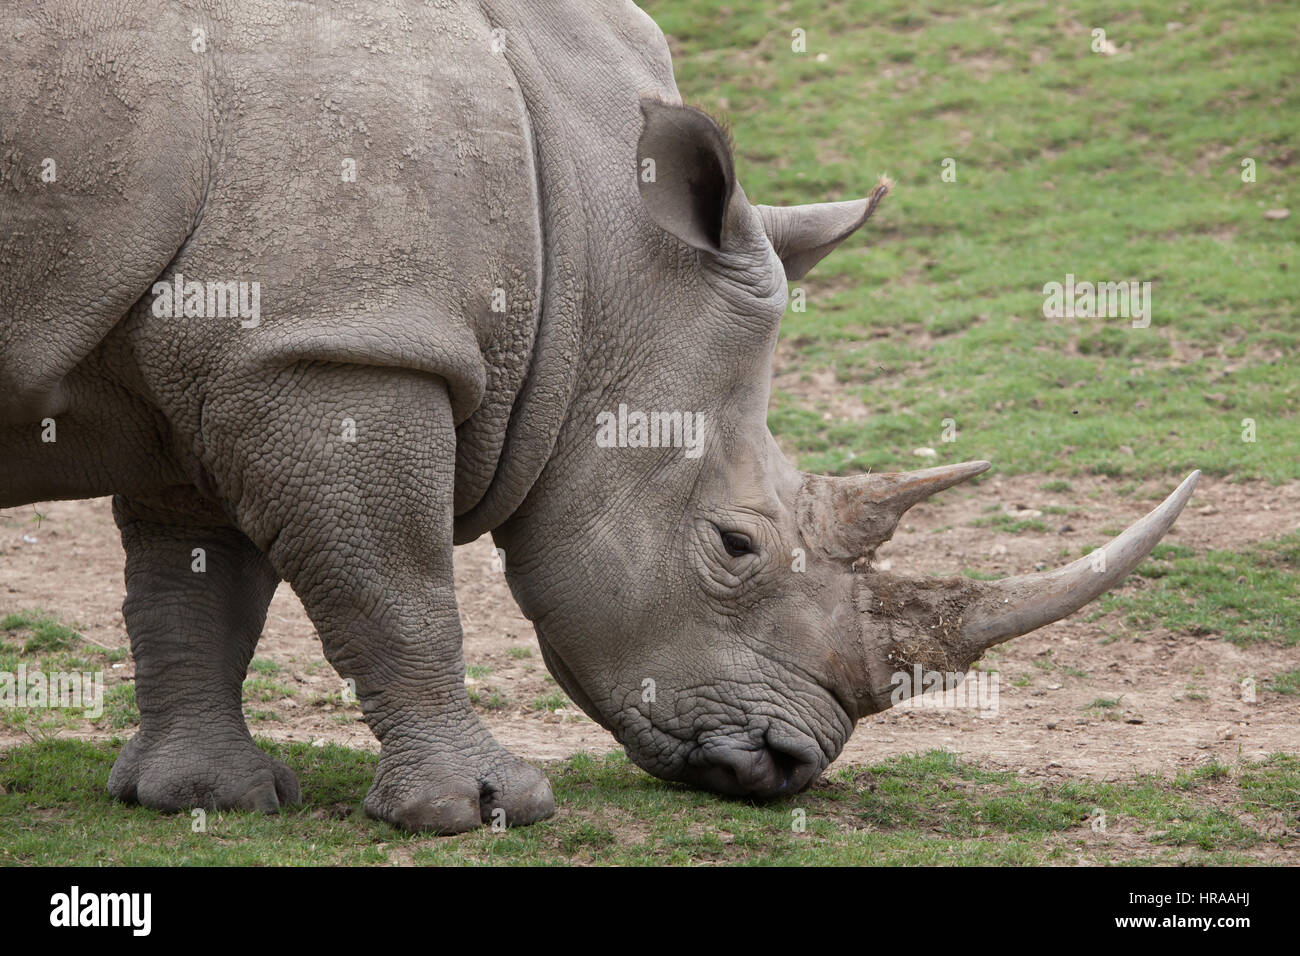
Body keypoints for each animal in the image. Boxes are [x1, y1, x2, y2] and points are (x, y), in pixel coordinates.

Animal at [0, 0, 1198, 833]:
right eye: (735, 545)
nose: (787, 766)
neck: (588, 234)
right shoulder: (339, 341)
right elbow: (397, 583)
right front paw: (486, 810)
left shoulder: (236, 343)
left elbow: (193, 586)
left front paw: (204, 796)